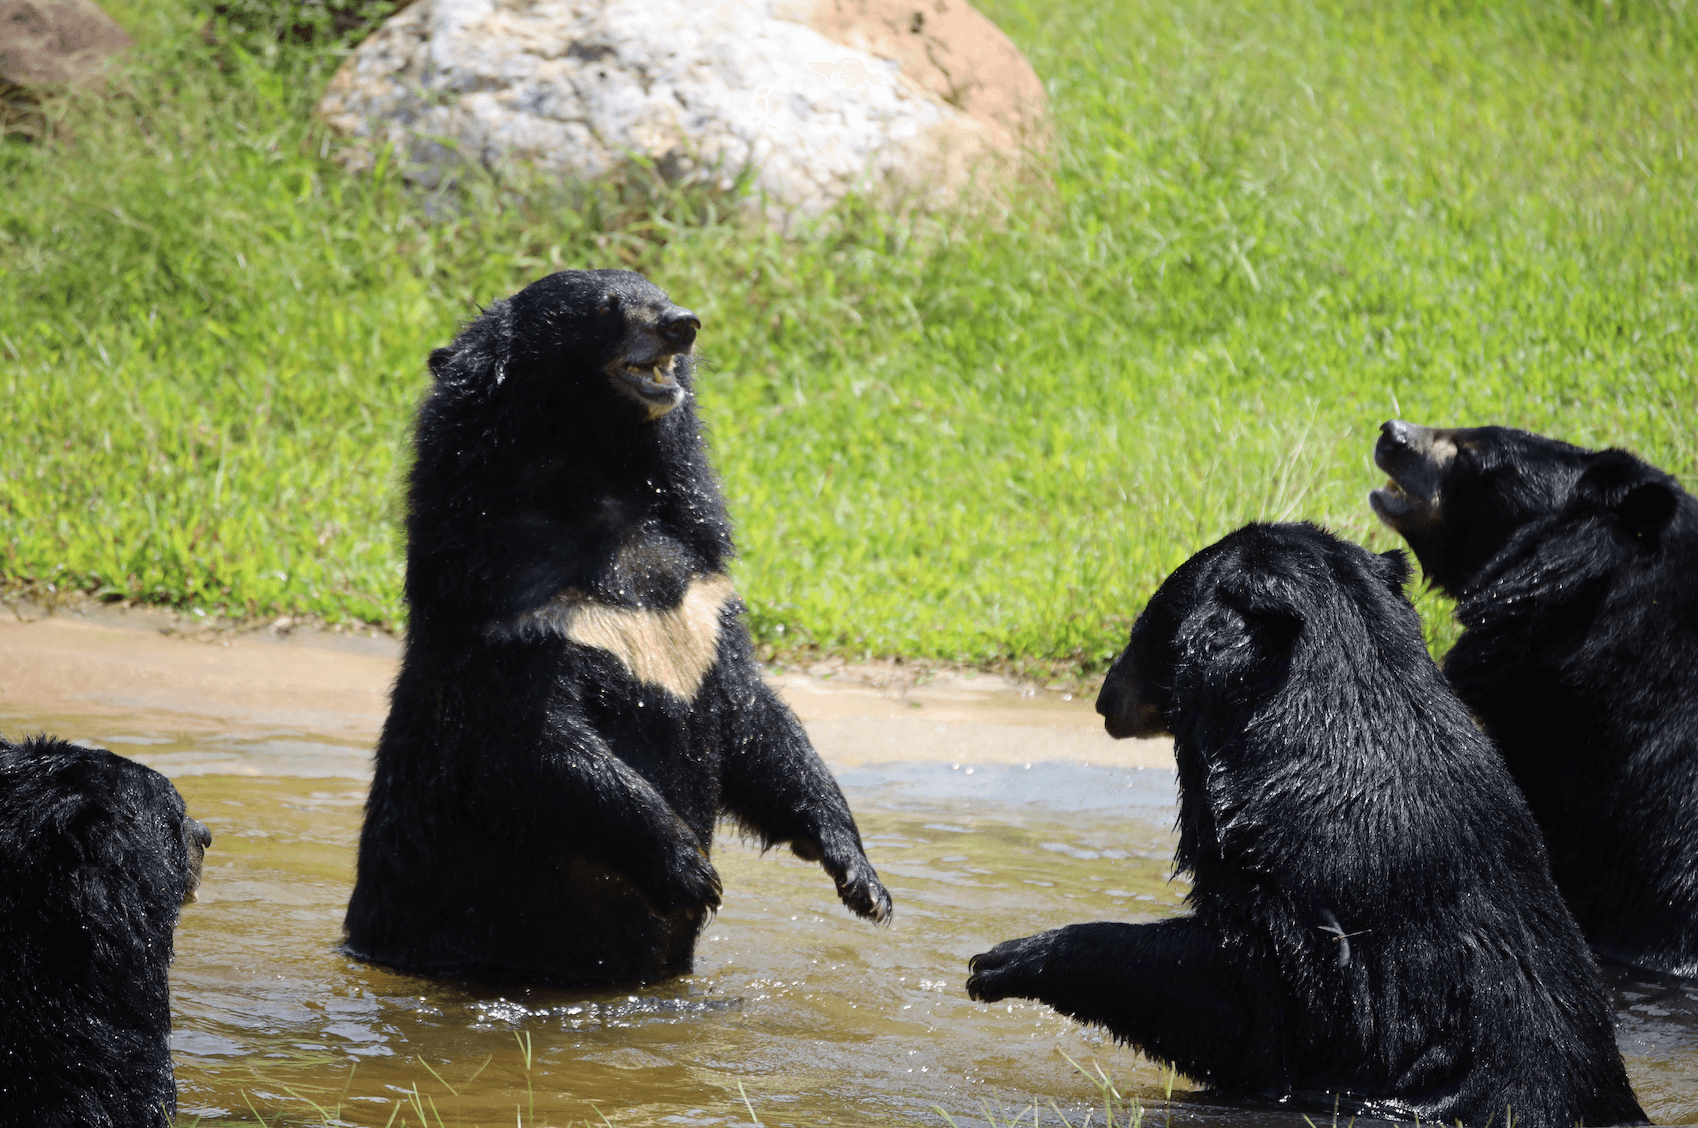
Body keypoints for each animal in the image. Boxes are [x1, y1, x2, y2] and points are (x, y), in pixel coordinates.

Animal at [343, 269, 891, 987]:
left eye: (659, 291)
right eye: (608, 309)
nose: (682, 324)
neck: (598, 480)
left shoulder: (700, 599)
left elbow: (759, 724)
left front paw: (862, 879)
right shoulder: (513, 610)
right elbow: (536, 745)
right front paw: (694, 875)